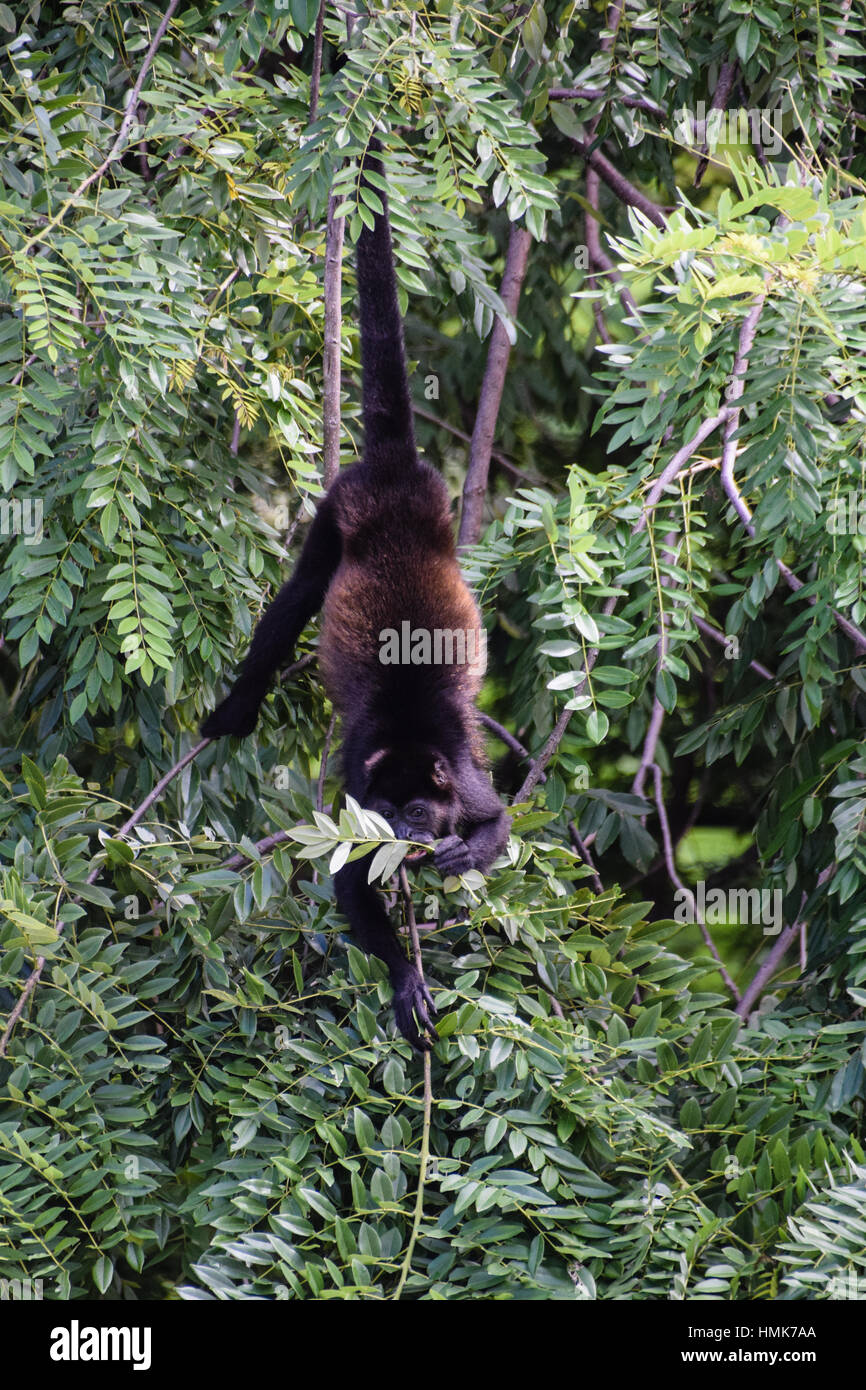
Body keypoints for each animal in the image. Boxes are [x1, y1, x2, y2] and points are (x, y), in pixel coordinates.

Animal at [202, 138, 510, 1051]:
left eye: (422, 808)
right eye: (390, 806)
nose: (406, 834)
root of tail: (395, 471)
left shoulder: (460, 773)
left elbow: (500, 819)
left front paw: (467, 852)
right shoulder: (357, 786)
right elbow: (342, 874)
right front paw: (406, 978)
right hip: (338, 506)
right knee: (297, 597)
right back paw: (239, 704)